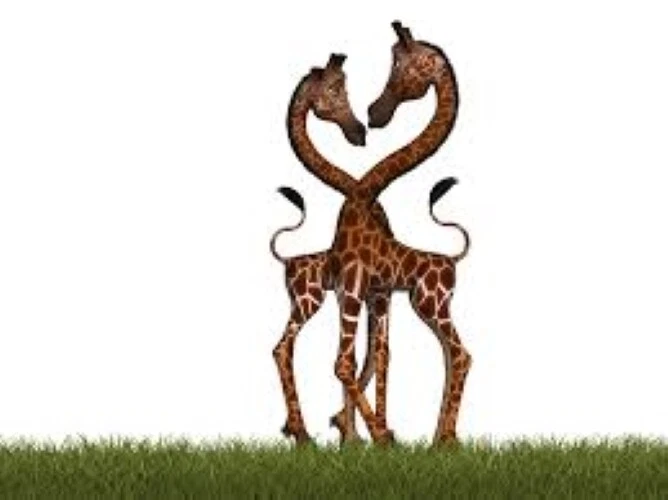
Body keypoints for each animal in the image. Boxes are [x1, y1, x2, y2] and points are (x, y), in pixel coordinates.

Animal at [271, 53, 396, 446]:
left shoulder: (369, 292)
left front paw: (351, 436)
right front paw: (360, 434)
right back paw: (302, 434)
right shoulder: (364, 290)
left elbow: (369, 355)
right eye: (335, 89)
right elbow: (366, 356)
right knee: (283, 346)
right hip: (308, 298)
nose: (359, 131)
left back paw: (304, 430)